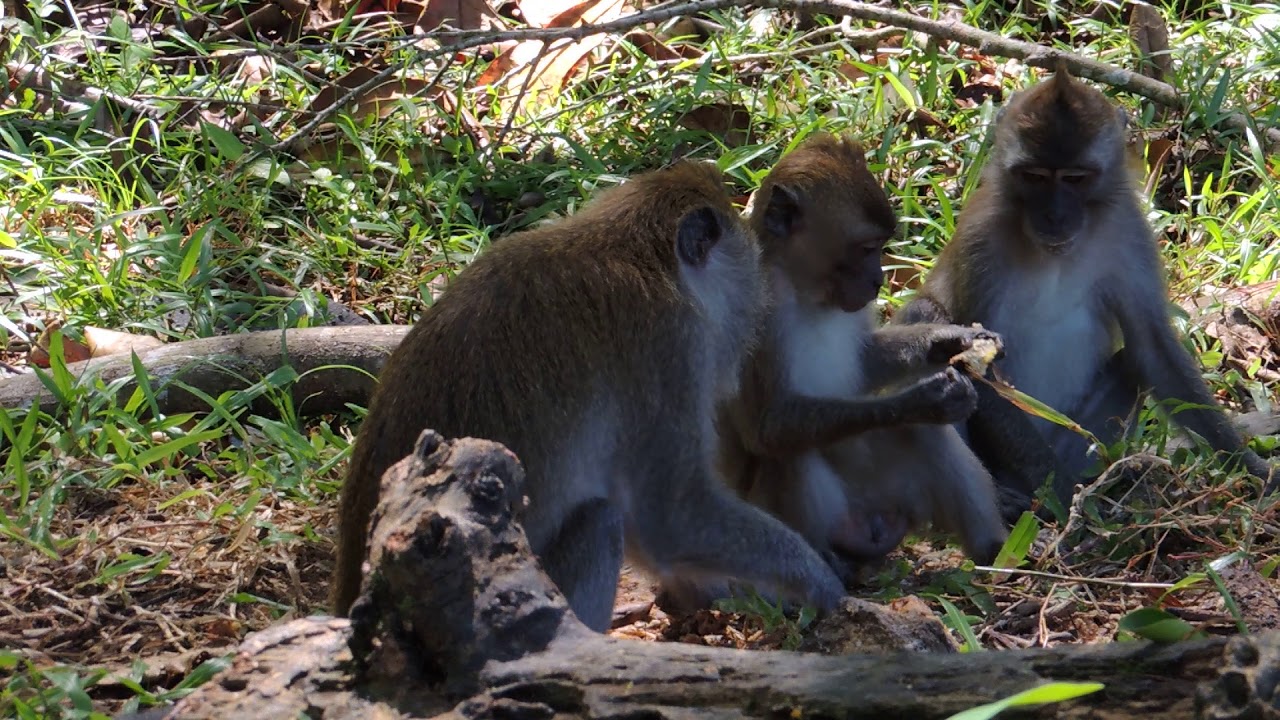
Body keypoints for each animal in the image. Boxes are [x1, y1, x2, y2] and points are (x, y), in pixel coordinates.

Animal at [330, 160, 848, 630]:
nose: (755, 319)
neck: (635, 252)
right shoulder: (668, 348)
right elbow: (672, 515)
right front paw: (817, 580)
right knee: (600, 523)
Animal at [893, 63, 1277, 516]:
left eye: (1075, 178)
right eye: (1035, 176)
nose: (1055, 215)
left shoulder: (1128, 230)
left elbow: (1151, 348)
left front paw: (1252, 468)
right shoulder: (980, 239)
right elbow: (977, 362)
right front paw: (1063, 499)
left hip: (1079, 442)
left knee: (1130, 364)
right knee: (926, 317)